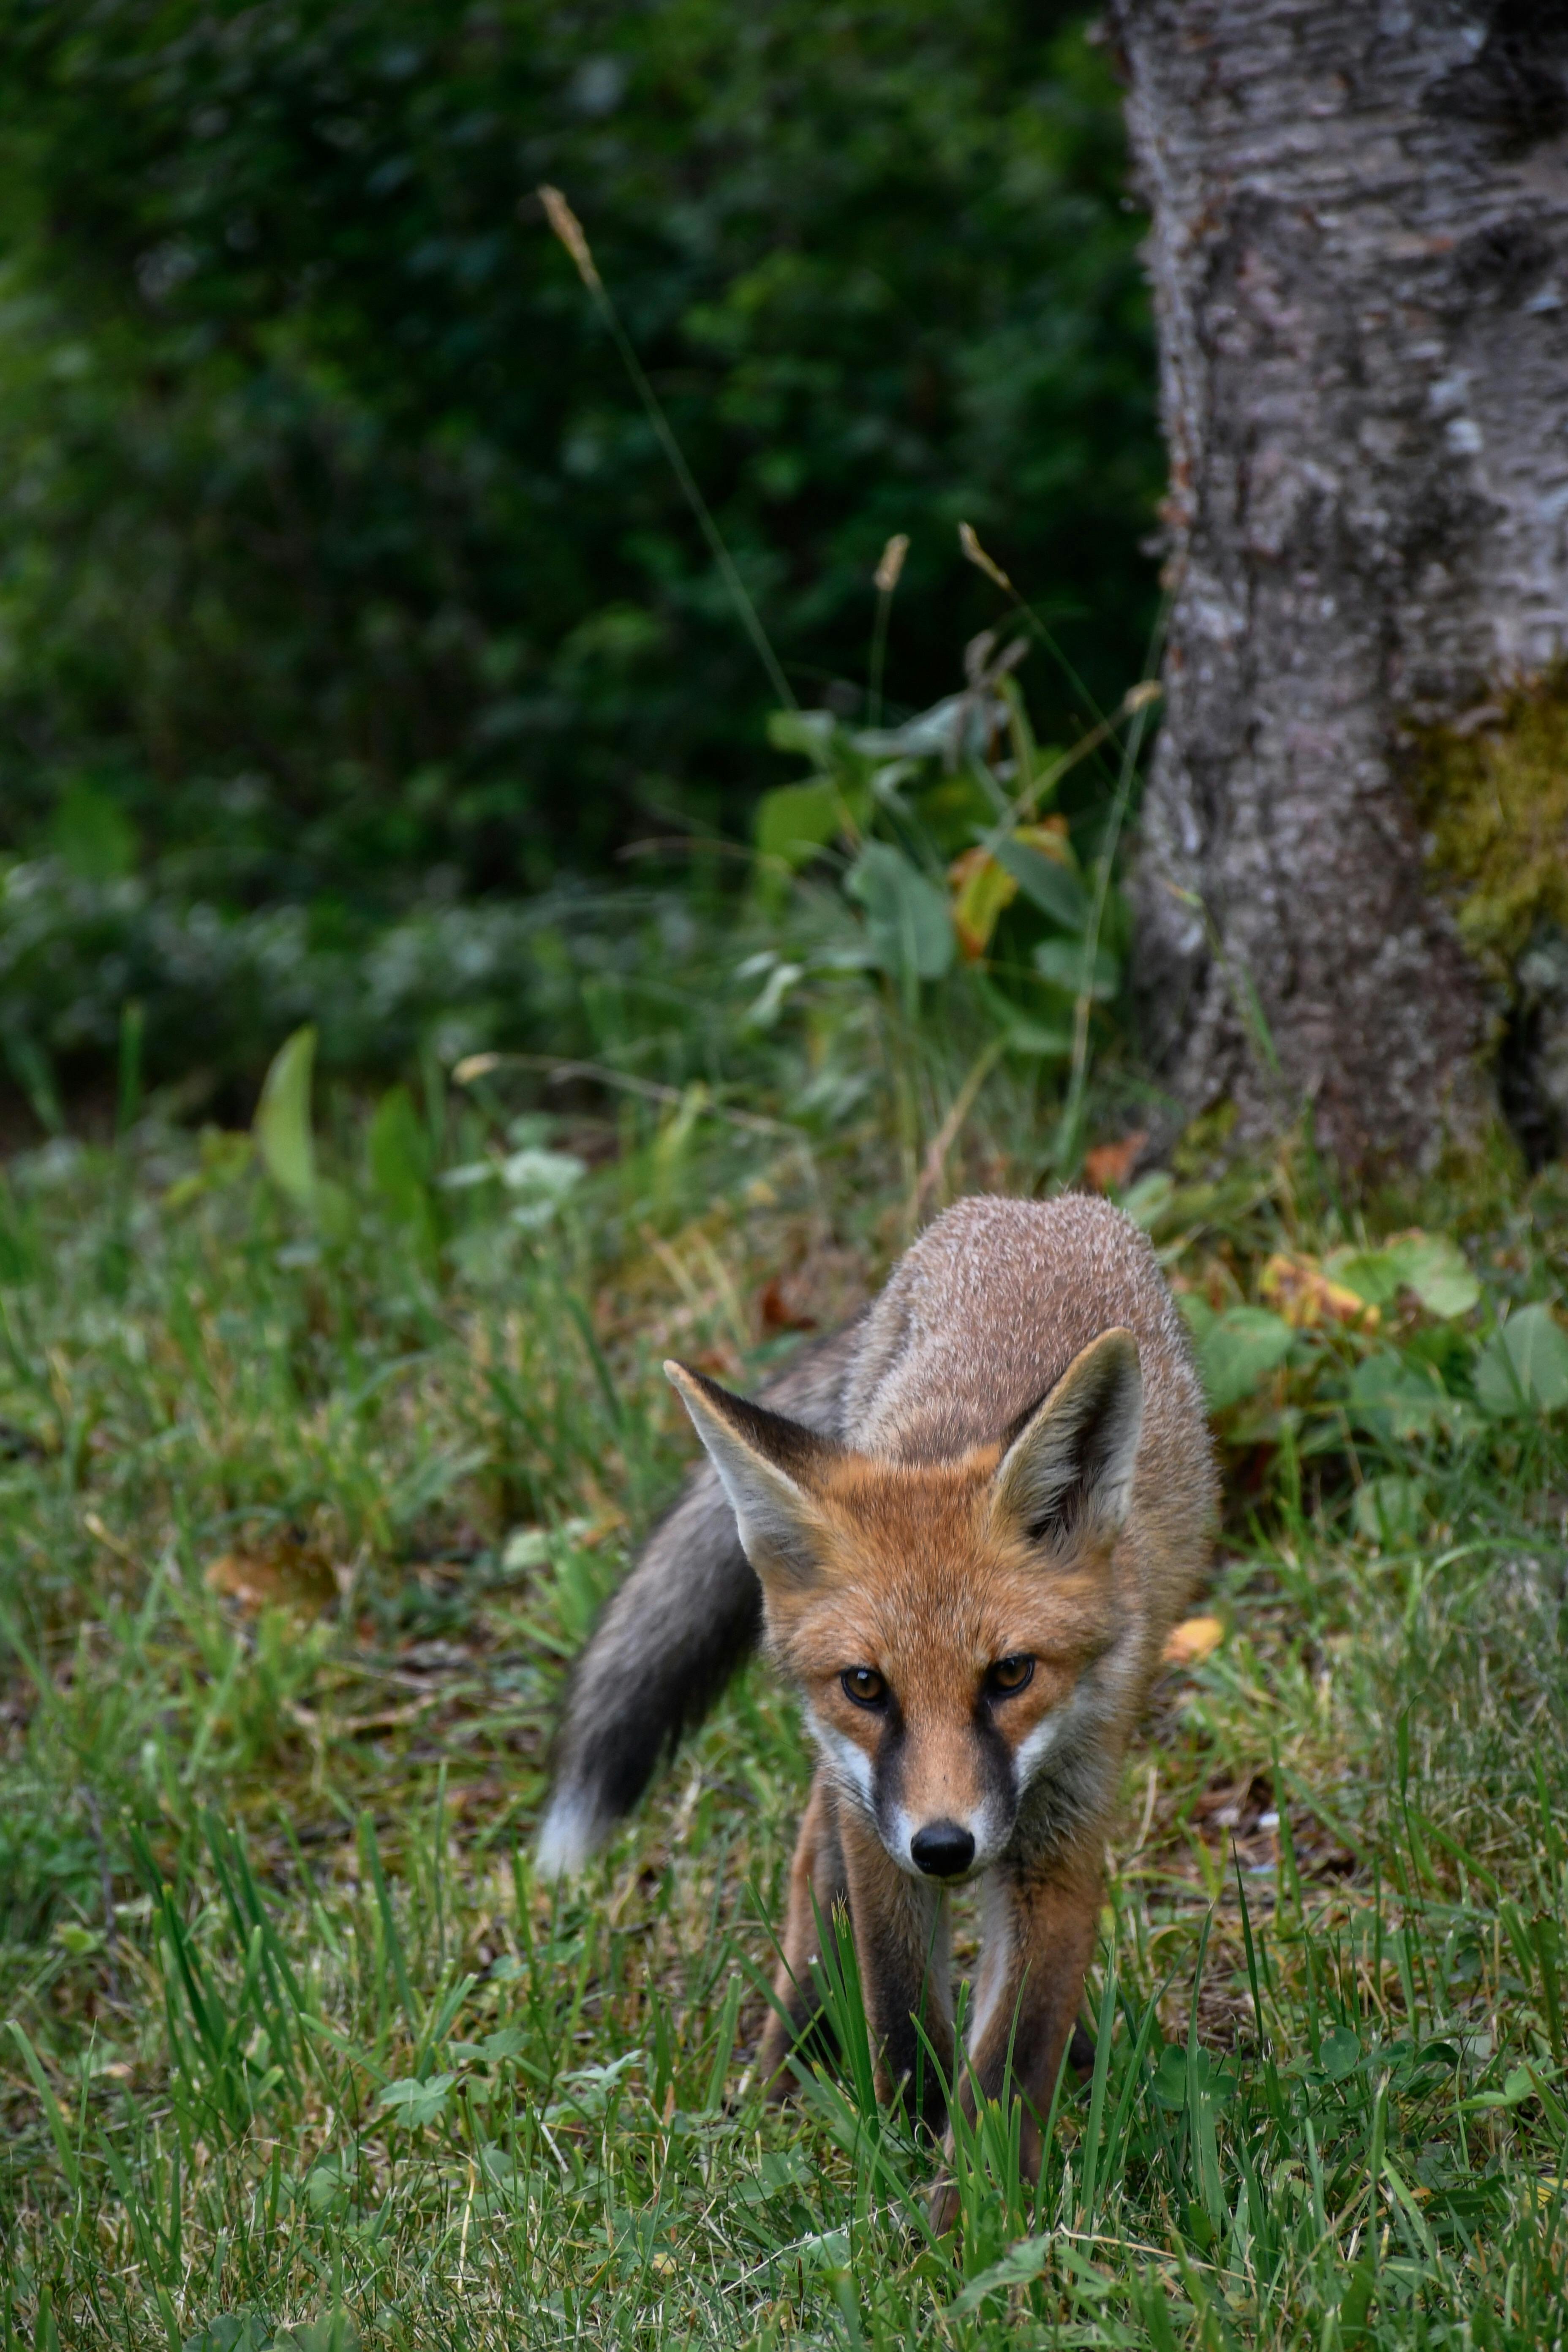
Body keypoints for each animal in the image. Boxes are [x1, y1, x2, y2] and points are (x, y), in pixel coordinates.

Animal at [536, 1193, 1217, 2203]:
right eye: (866, 1683)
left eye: (1009, 1674)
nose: (944, 1848)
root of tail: (1024, 1207)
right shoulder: (877, 1825)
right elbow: (902, 2014)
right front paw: (908, 2143)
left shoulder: (1063, 1825)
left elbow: (1012, 2052)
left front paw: (976, 2202)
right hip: (845, 1784)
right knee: (812, 1863)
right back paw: (786, 2066)